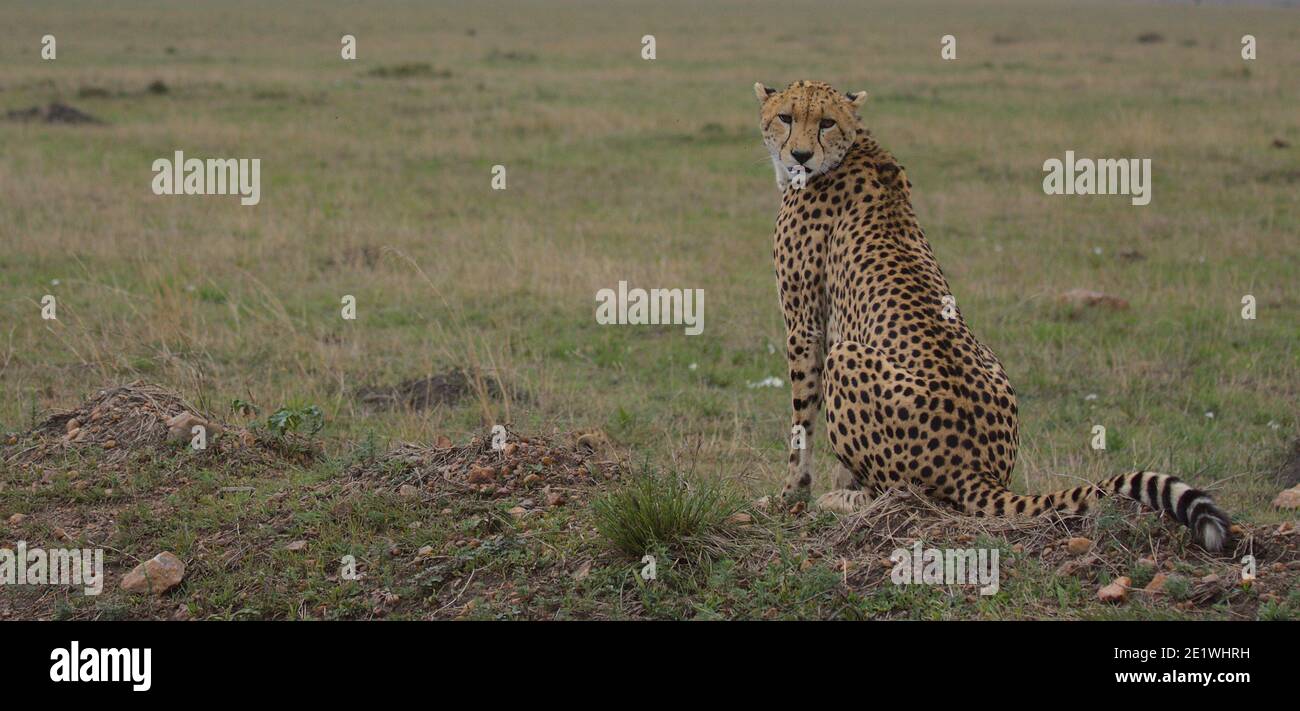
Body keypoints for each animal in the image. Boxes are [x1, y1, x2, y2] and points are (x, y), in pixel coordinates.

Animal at [754, 79, 1231, 551]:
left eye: (826, 122)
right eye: (786, 117)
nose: (800, 156)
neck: (855, 147)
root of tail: (979, 470)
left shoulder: (805, 326)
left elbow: (801, 421)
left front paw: (790, 497)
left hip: (848, 357)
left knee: (906, 494)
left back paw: (844, 501)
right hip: (990, 363)